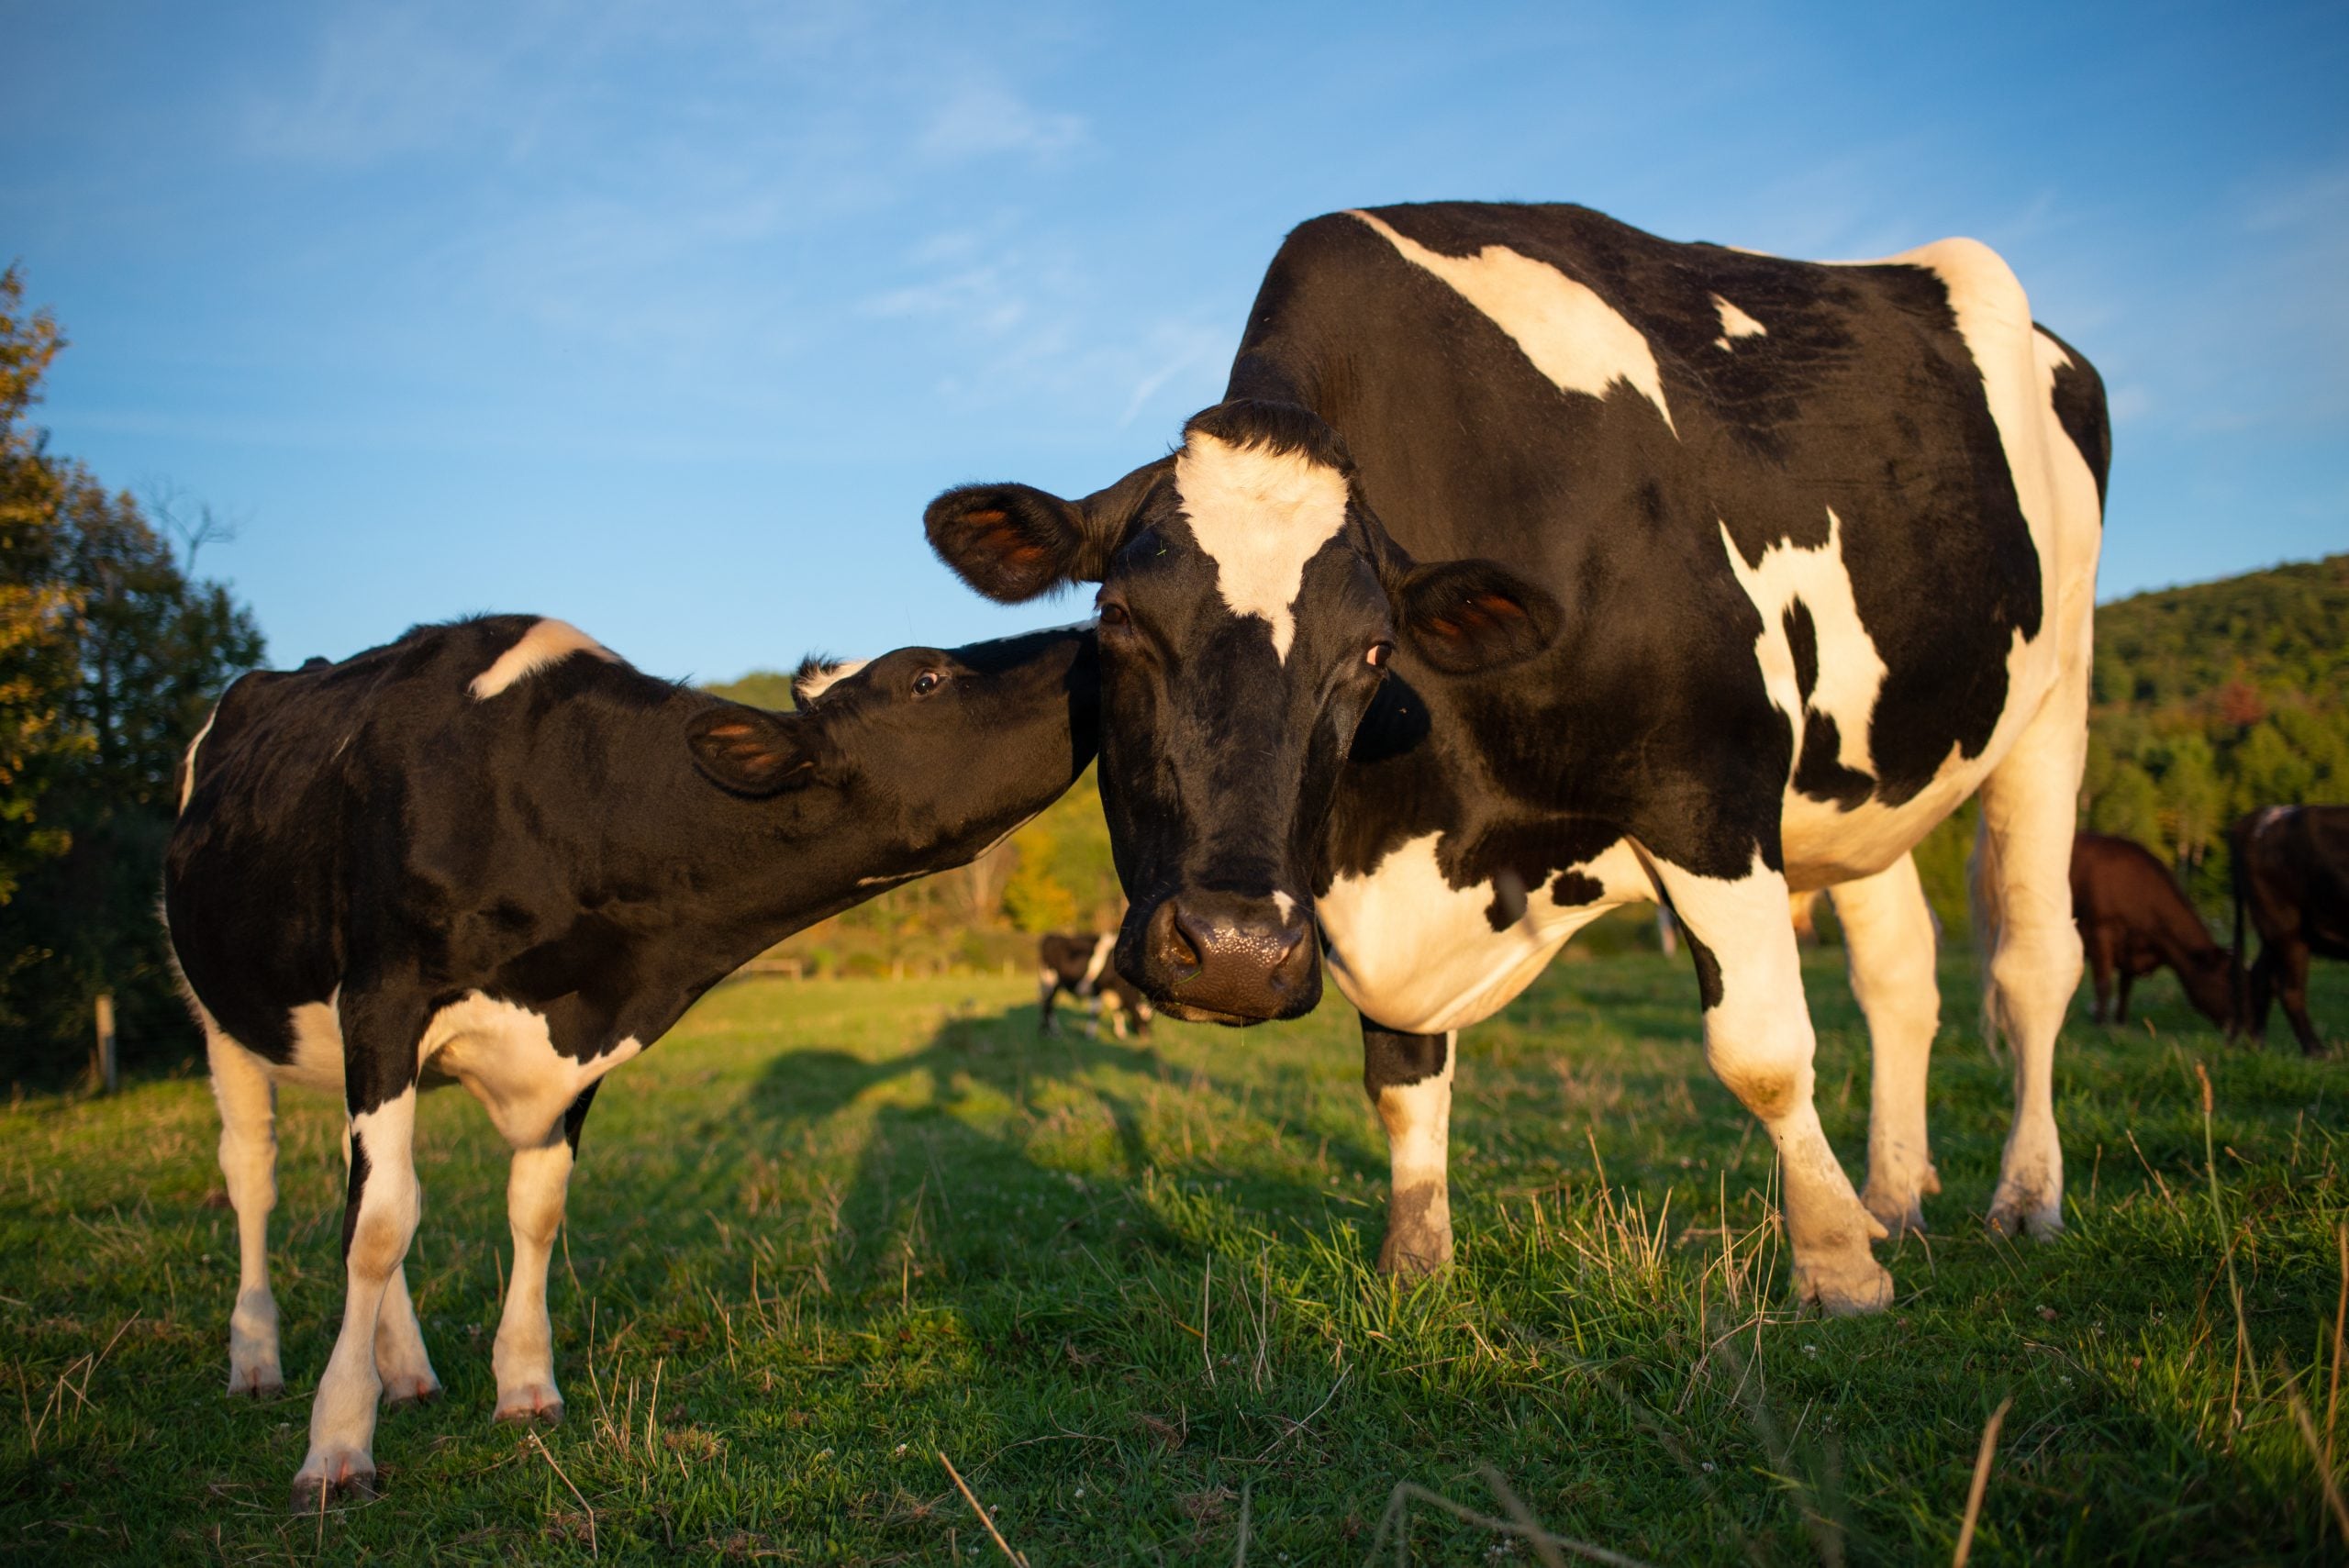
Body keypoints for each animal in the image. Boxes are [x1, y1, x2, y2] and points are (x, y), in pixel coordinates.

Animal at [165, 614, 1098, 1509]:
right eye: (926, 677)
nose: (1085, 635)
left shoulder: (579, 1041)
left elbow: (531, 1208)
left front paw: (525, 1386)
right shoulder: (382, 999)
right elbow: (383, 1223)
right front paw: (336, 1446)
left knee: (353, 1174)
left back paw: (408, 1368)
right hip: (221, 1013)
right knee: (256, 1172)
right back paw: (256, 1358)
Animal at [923, 202, 2108, 1314]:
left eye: (1372, 649)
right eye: (1116, 615)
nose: (1231, 951)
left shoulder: (1711, 780)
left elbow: (1762, 1048)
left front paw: (1834, 1266)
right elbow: (1400, 1073)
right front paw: (1416, 1261)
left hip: (2055, 694)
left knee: (2032, 961)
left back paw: (2023, 1195)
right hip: (1857, 789)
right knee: (1899, 969)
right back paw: (1892, 1196)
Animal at [2070, 831, 2233, 1027]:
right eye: (2225, 982)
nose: (2235, 1022)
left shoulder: (2130, 946)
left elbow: (2125, 987)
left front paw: (2121, 1022)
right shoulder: (2100, 934)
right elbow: (2104, 984)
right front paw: (2100, 1023)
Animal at [2231, 804, 2349, 1054]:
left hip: (2273, 935)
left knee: (2261, 977)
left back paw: (2258, 1045)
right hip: (2286, 930)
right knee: (2289, 989)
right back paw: (2317, 1051)